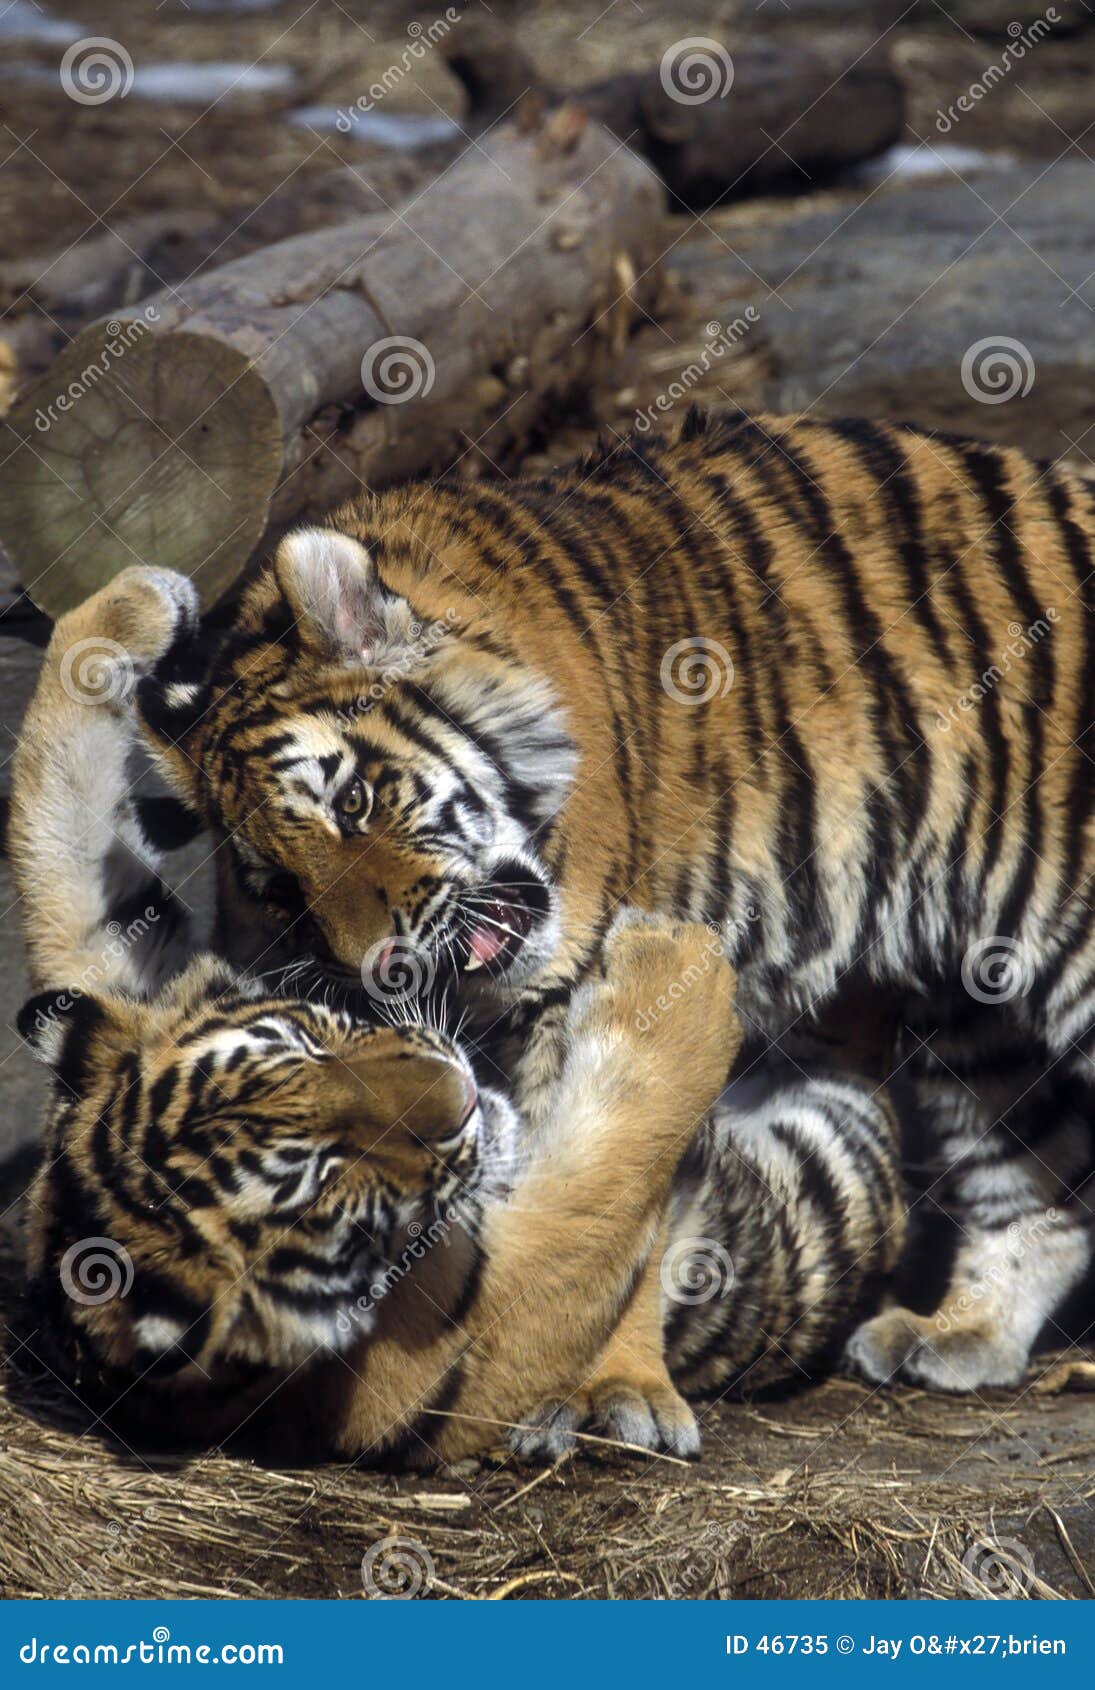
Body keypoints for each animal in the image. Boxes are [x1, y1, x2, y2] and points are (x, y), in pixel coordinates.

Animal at [10, 567, 907, 1464]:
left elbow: (60, 857)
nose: (460, 1094)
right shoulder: (487, 1331)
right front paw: (674, 958)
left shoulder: (123, 979)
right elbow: (614, 1168)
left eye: (310, 1041)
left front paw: (130, 613)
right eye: (325, 1173)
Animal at [139, 406, 1095, 1399]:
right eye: (280, 888)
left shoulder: (613, 982)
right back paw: (962, 1332)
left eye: (353, 802)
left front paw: (615, 1388)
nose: (379, 964)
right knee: (1035, 1176)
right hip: (975, 993)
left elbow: (627, 1185)